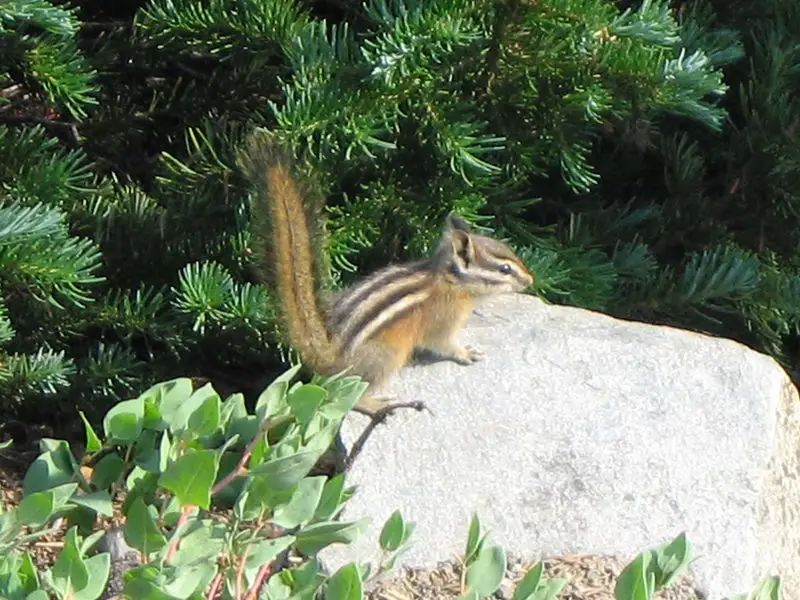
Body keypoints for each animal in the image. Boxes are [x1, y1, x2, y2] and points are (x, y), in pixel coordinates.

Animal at [241, 134, 535, 416]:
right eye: (505, 269)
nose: (531, 280)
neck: (450, 280)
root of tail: (328, 356)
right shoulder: (443, 319)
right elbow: (442, 343)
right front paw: (464, 353)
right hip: (387, 357)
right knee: (347, 396)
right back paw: (375, 405)